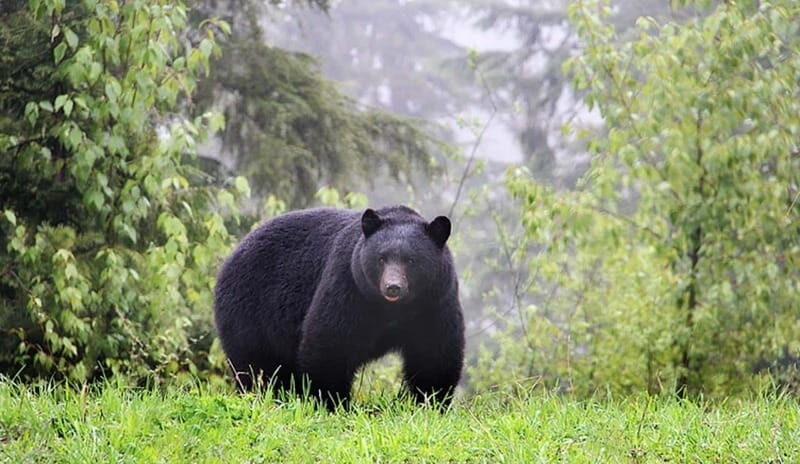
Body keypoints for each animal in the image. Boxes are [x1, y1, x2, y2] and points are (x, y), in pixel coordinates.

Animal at [213, 205, 465, 409]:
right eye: (381, 258)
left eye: (411, 261)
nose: (393, 287)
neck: (393, 309)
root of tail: (231, 257)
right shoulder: (348, 284)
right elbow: (331, 341)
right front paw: (332, 402)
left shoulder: (435, 301)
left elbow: (434, 352)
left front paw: (431, 402)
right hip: (249, 310)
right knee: (256, 363)